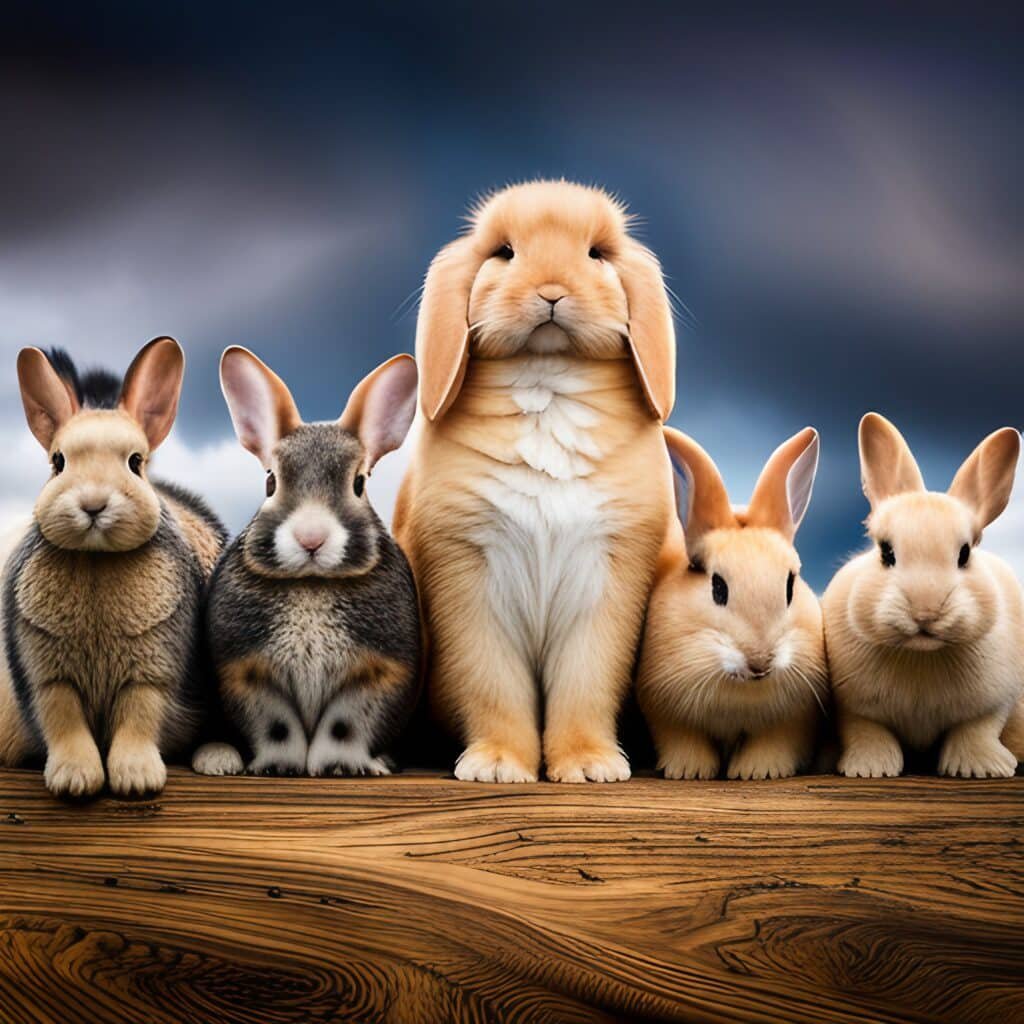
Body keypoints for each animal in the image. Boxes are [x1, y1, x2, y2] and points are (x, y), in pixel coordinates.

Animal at [2, 339, 226, 797]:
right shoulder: (49, 678)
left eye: (135, 462)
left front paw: (136, 779)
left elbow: (138, 717)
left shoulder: (152, 673)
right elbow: (64, 721)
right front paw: (74, 779)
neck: (96, 559)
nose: (93, 504)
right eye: (58, 462)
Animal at [192, 346, 421, 778]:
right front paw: (279, 766)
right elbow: (276, 725)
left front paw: (340, 766)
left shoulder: (378, 672)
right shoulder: (248, 673)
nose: (311, 538)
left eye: (359, 484)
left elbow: (344, 724)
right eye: (270, 481)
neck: (313, 582)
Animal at [393, 180, 676, 784]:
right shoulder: (468, 576)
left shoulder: (608, 579)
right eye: (503, 252)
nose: (551, 292)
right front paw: (498, 765)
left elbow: (586, 681)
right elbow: (492, 682)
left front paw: (590, 766)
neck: (547, 379)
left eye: (597, 253)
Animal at [637, 426, 828, 780]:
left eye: (790, 585)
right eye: (717, 587)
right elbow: (684, 742)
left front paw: (757, 772)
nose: (760, 661)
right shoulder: (667, 716)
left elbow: (772, 744)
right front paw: (690, 772)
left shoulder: (793, 719)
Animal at [822, 413, 1023, 779]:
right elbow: (868, 732)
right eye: (886, 552)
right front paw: (869, 769)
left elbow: (977, 729)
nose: (925, 613)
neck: (921, 655)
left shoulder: (995, 702)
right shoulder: (854, 708)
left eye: (965, 554)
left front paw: (980, 768)